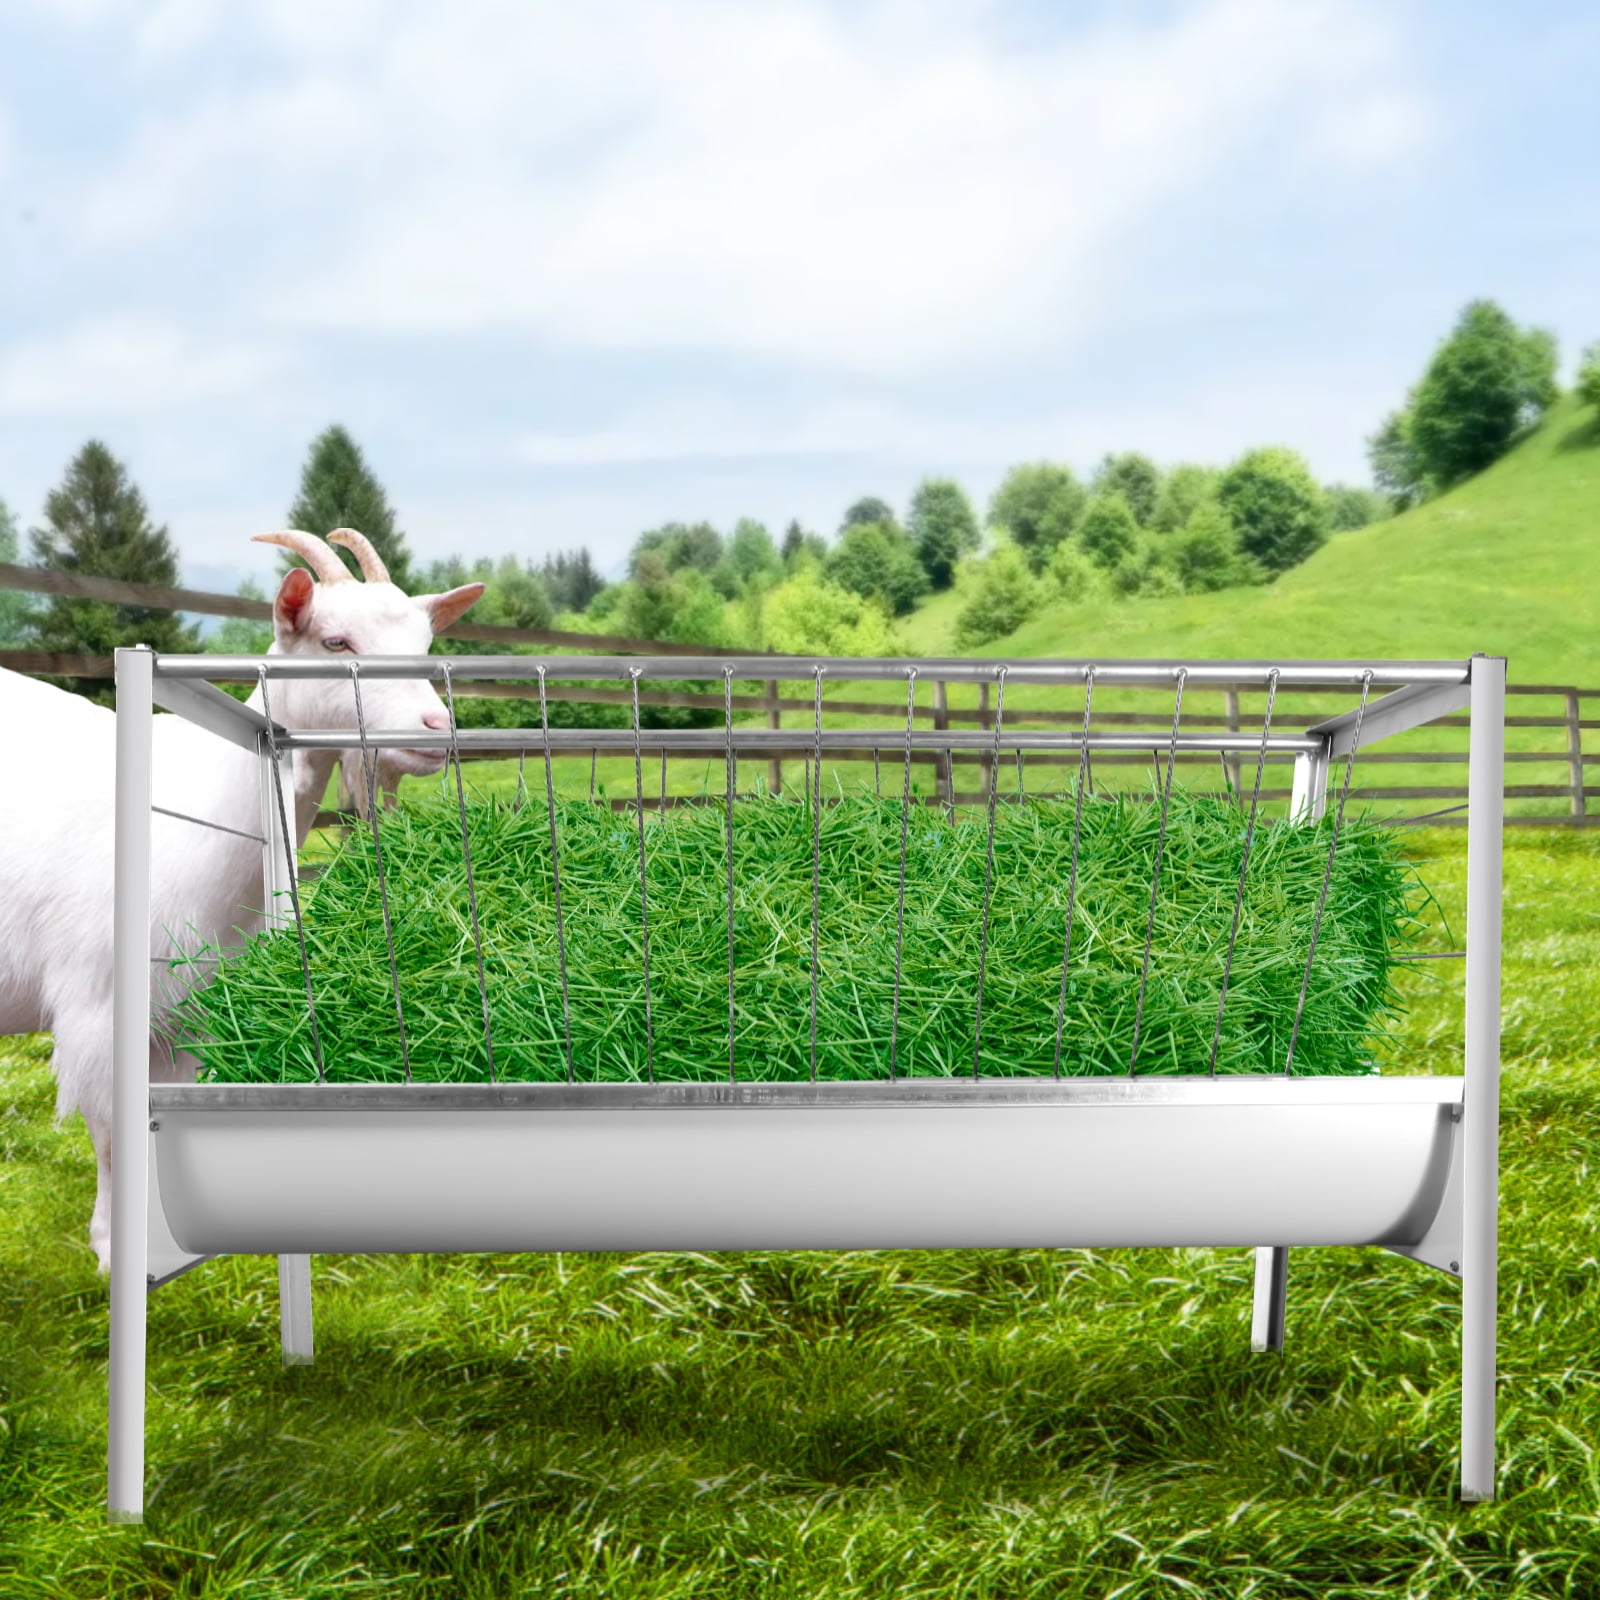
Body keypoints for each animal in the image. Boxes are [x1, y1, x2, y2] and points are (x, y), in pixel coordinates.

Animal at [0, 529, 483, 1268]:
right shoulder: (98, 1008)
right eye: (334, 641)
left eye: (425, 644)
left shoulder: (191, 1013)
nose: (436, 728)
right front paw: (113, 1248)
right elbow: (111, 1133)